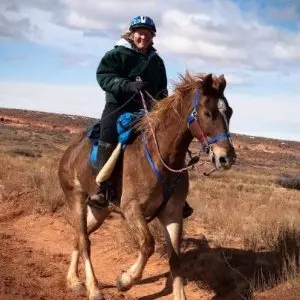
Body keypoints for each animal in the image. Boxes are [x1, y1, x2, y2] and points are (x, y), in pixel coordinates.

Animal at [58, 72, 237, 300]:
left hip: (99, 211)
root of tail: (69, 152)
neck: (162, 158)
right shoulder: (132, 209)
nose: (226, 158)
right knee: (84, 241)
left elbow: (175, 258)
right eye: (208, 112)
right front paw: (125, 280)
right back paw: (93, 288)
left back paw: (73, 280)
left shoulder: (173, 214)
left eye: (229, 112)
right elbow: (148, 245)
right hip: (76, 199)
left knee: (79, 236)